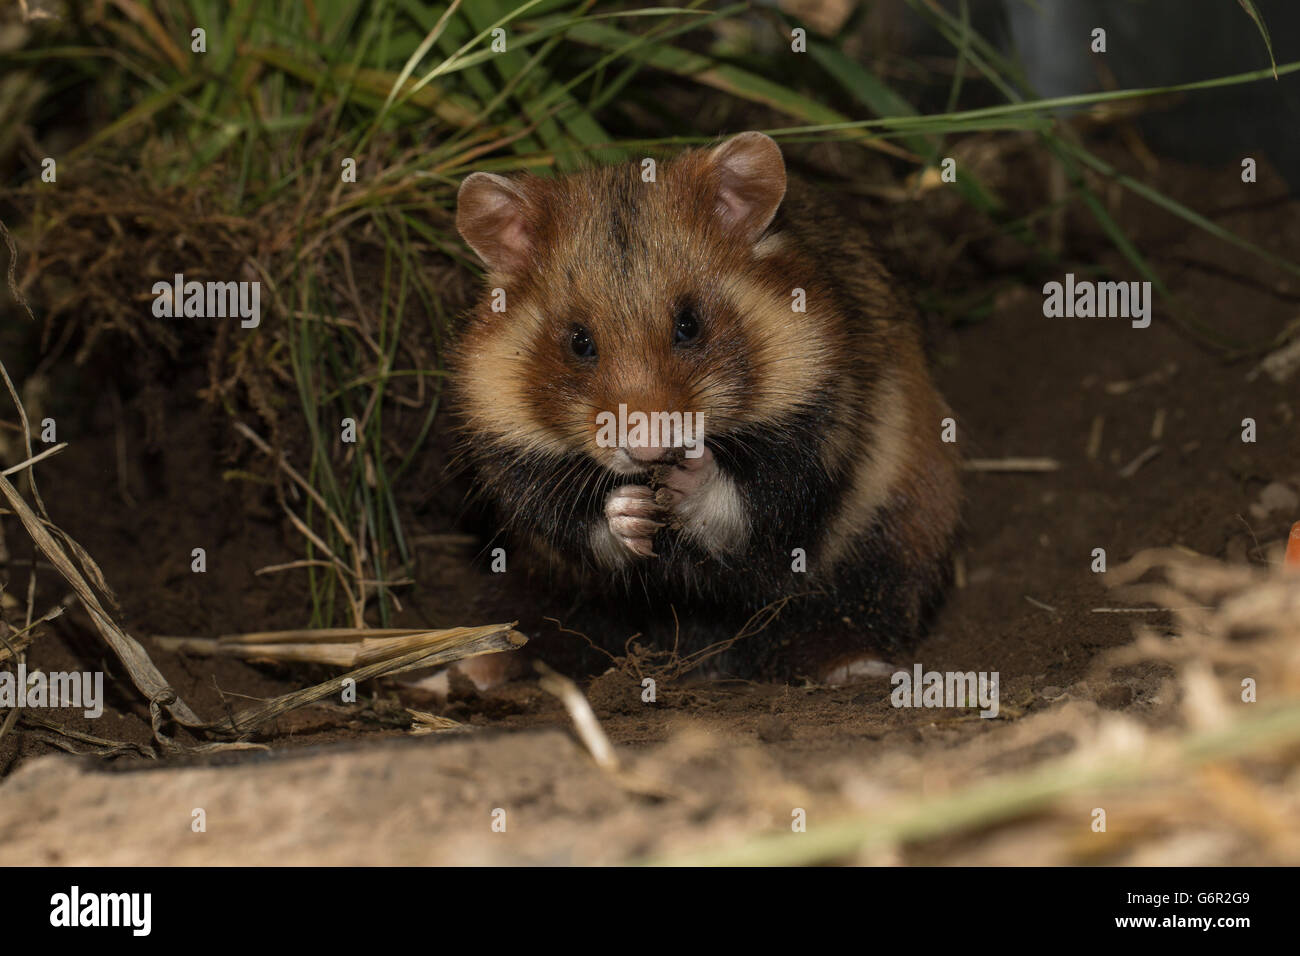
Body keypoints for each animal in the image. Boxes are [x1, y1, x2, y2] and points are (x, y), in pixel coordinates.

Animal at [450, 131, 961, 681]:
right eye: (578, 341)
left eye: (690, 324)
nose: (650, 449)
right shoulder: (515, 460)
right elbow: (578, 522)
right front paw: (631, 511)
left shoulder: (820, 427)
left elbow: (752, 505)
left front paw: (687, 480)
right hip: (532, 586)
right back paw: (472, 671)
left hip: (892, 533)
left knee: (856, 607)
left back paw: (856, 668)